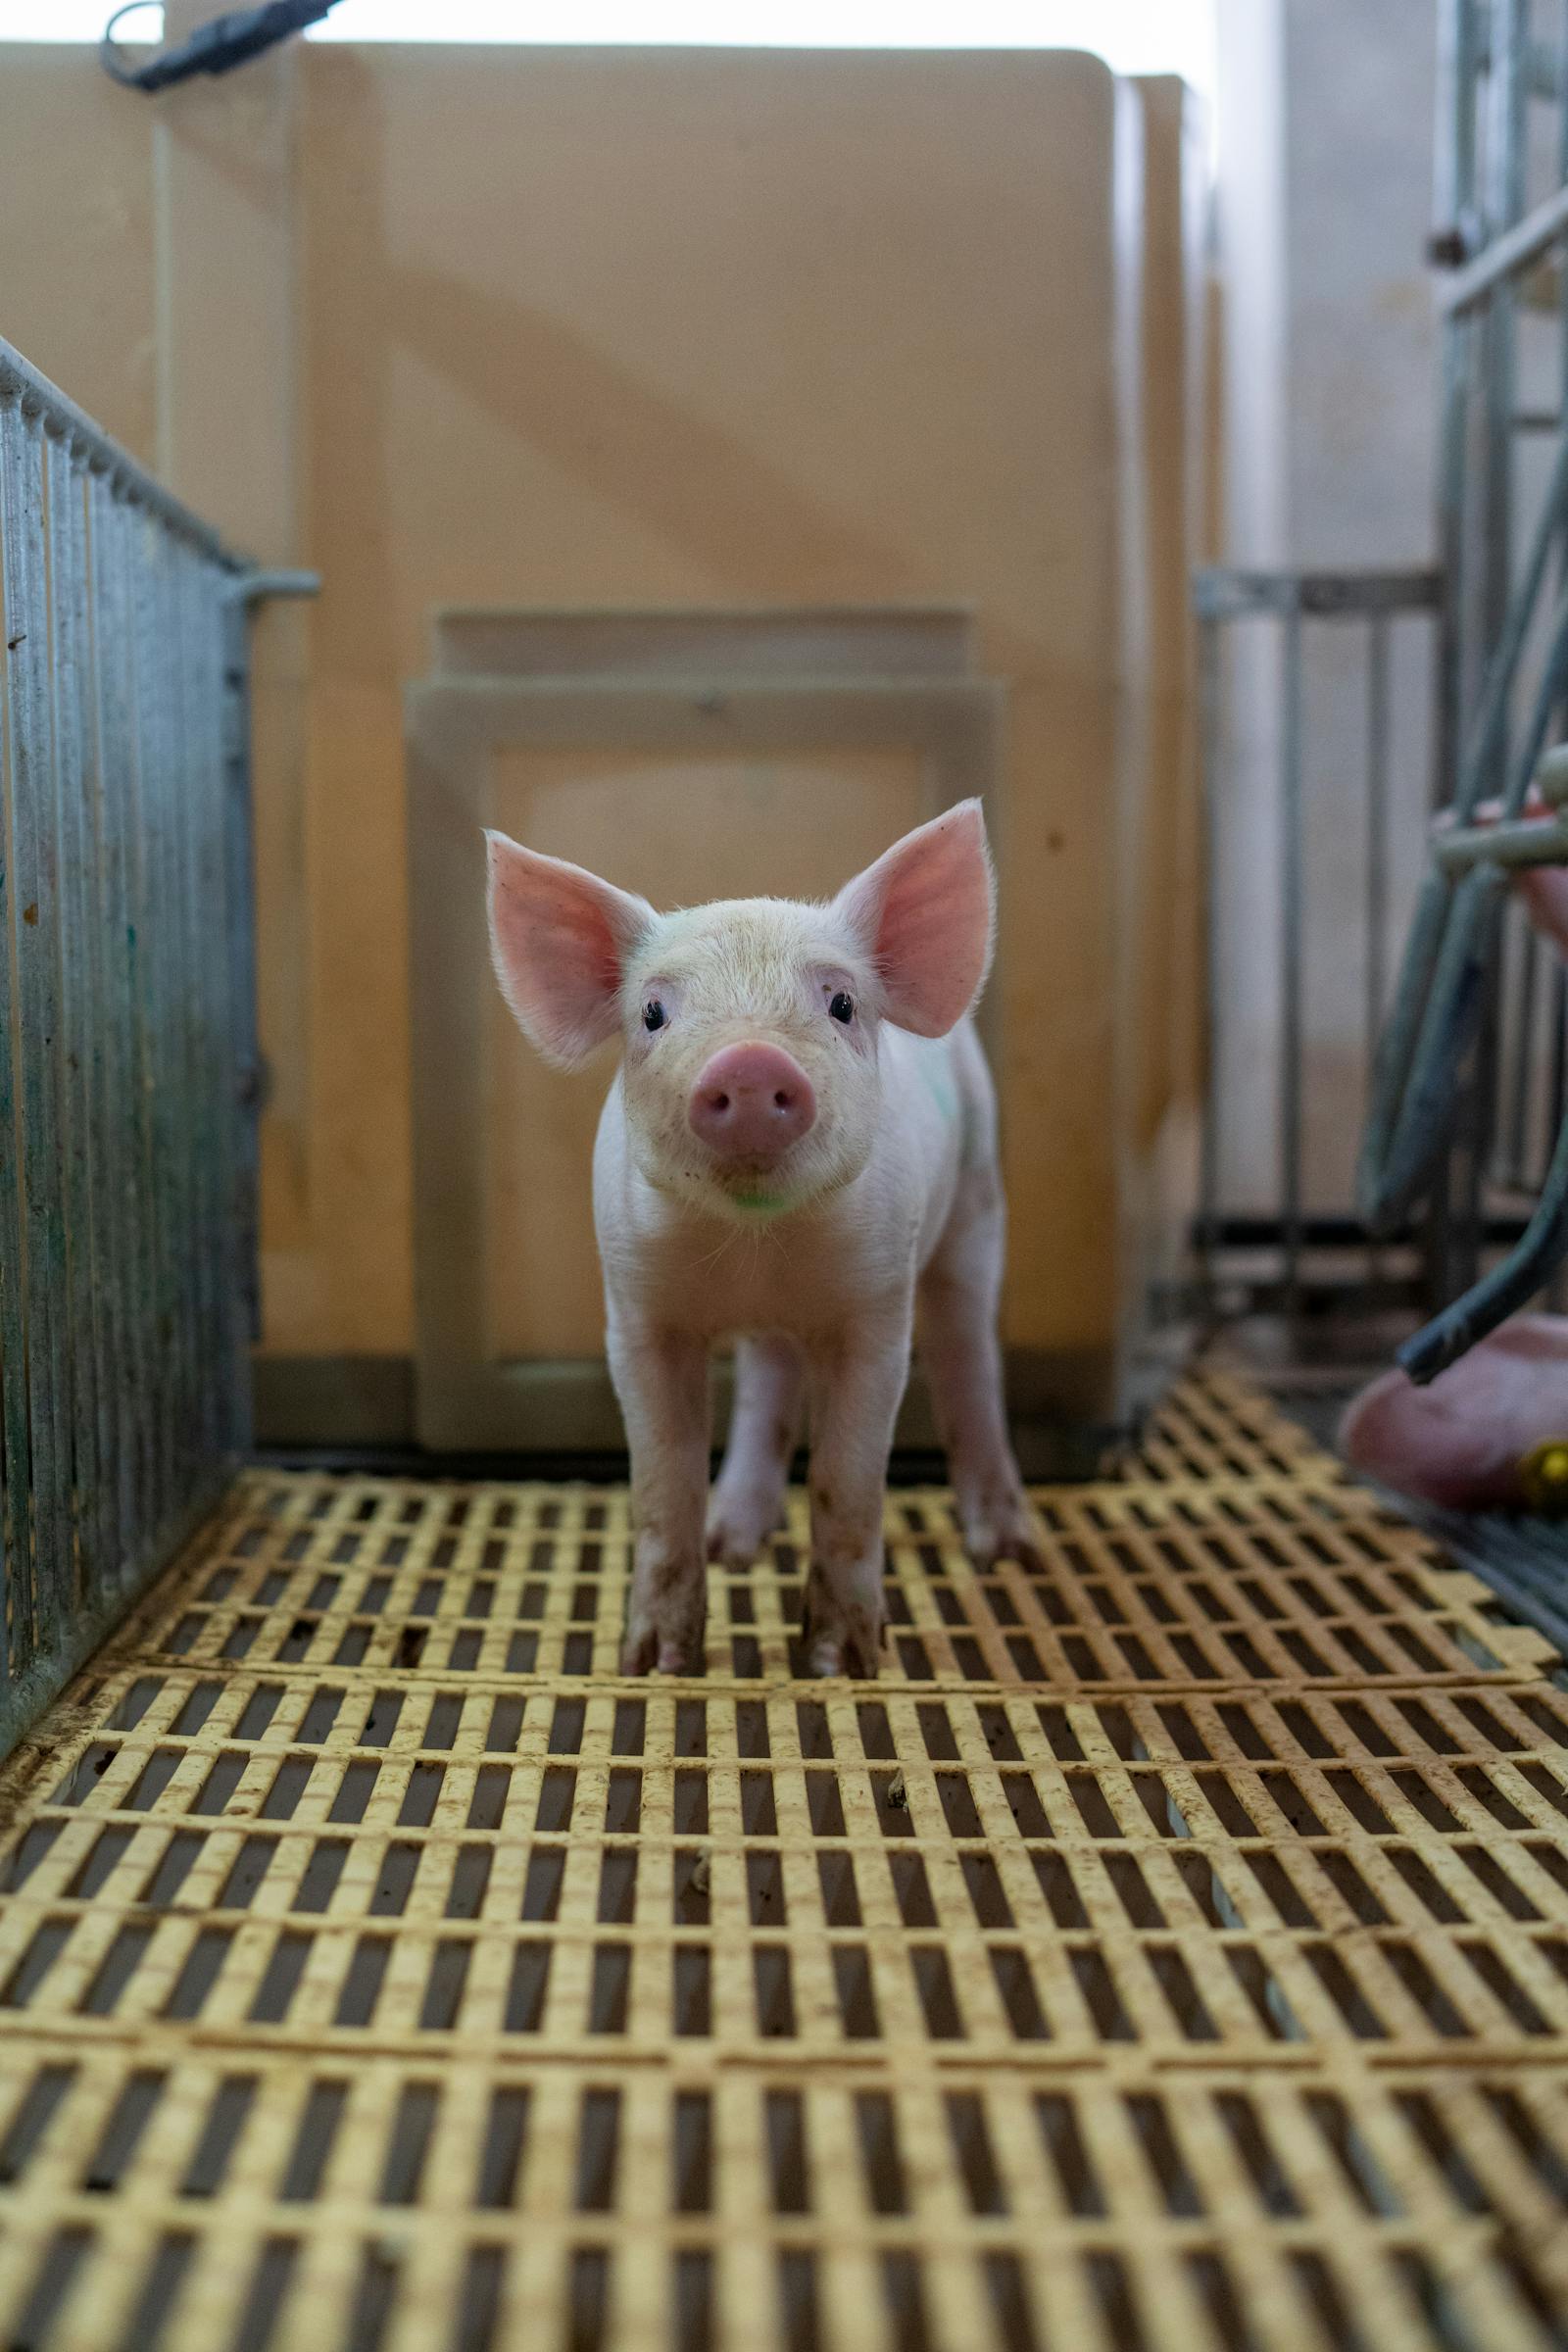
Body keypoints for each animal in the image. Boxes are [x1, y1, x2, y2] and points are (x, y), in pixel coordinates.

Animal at [486, 799, 1043, 1676]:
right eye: (653, 1013)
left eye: (841, 1004)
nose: (748, 1063)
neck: (758, 1249)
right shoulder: (636, 1310)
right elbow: (662, 1485)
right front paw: (655, 1665)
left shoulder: (877, 1308)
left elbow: (849, 1481)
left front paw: (842, 1665)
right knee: (768, 1379)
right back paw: (733, 1543)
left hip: (980, 1199)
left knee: (969, 1357)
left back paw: (1007, 1553)